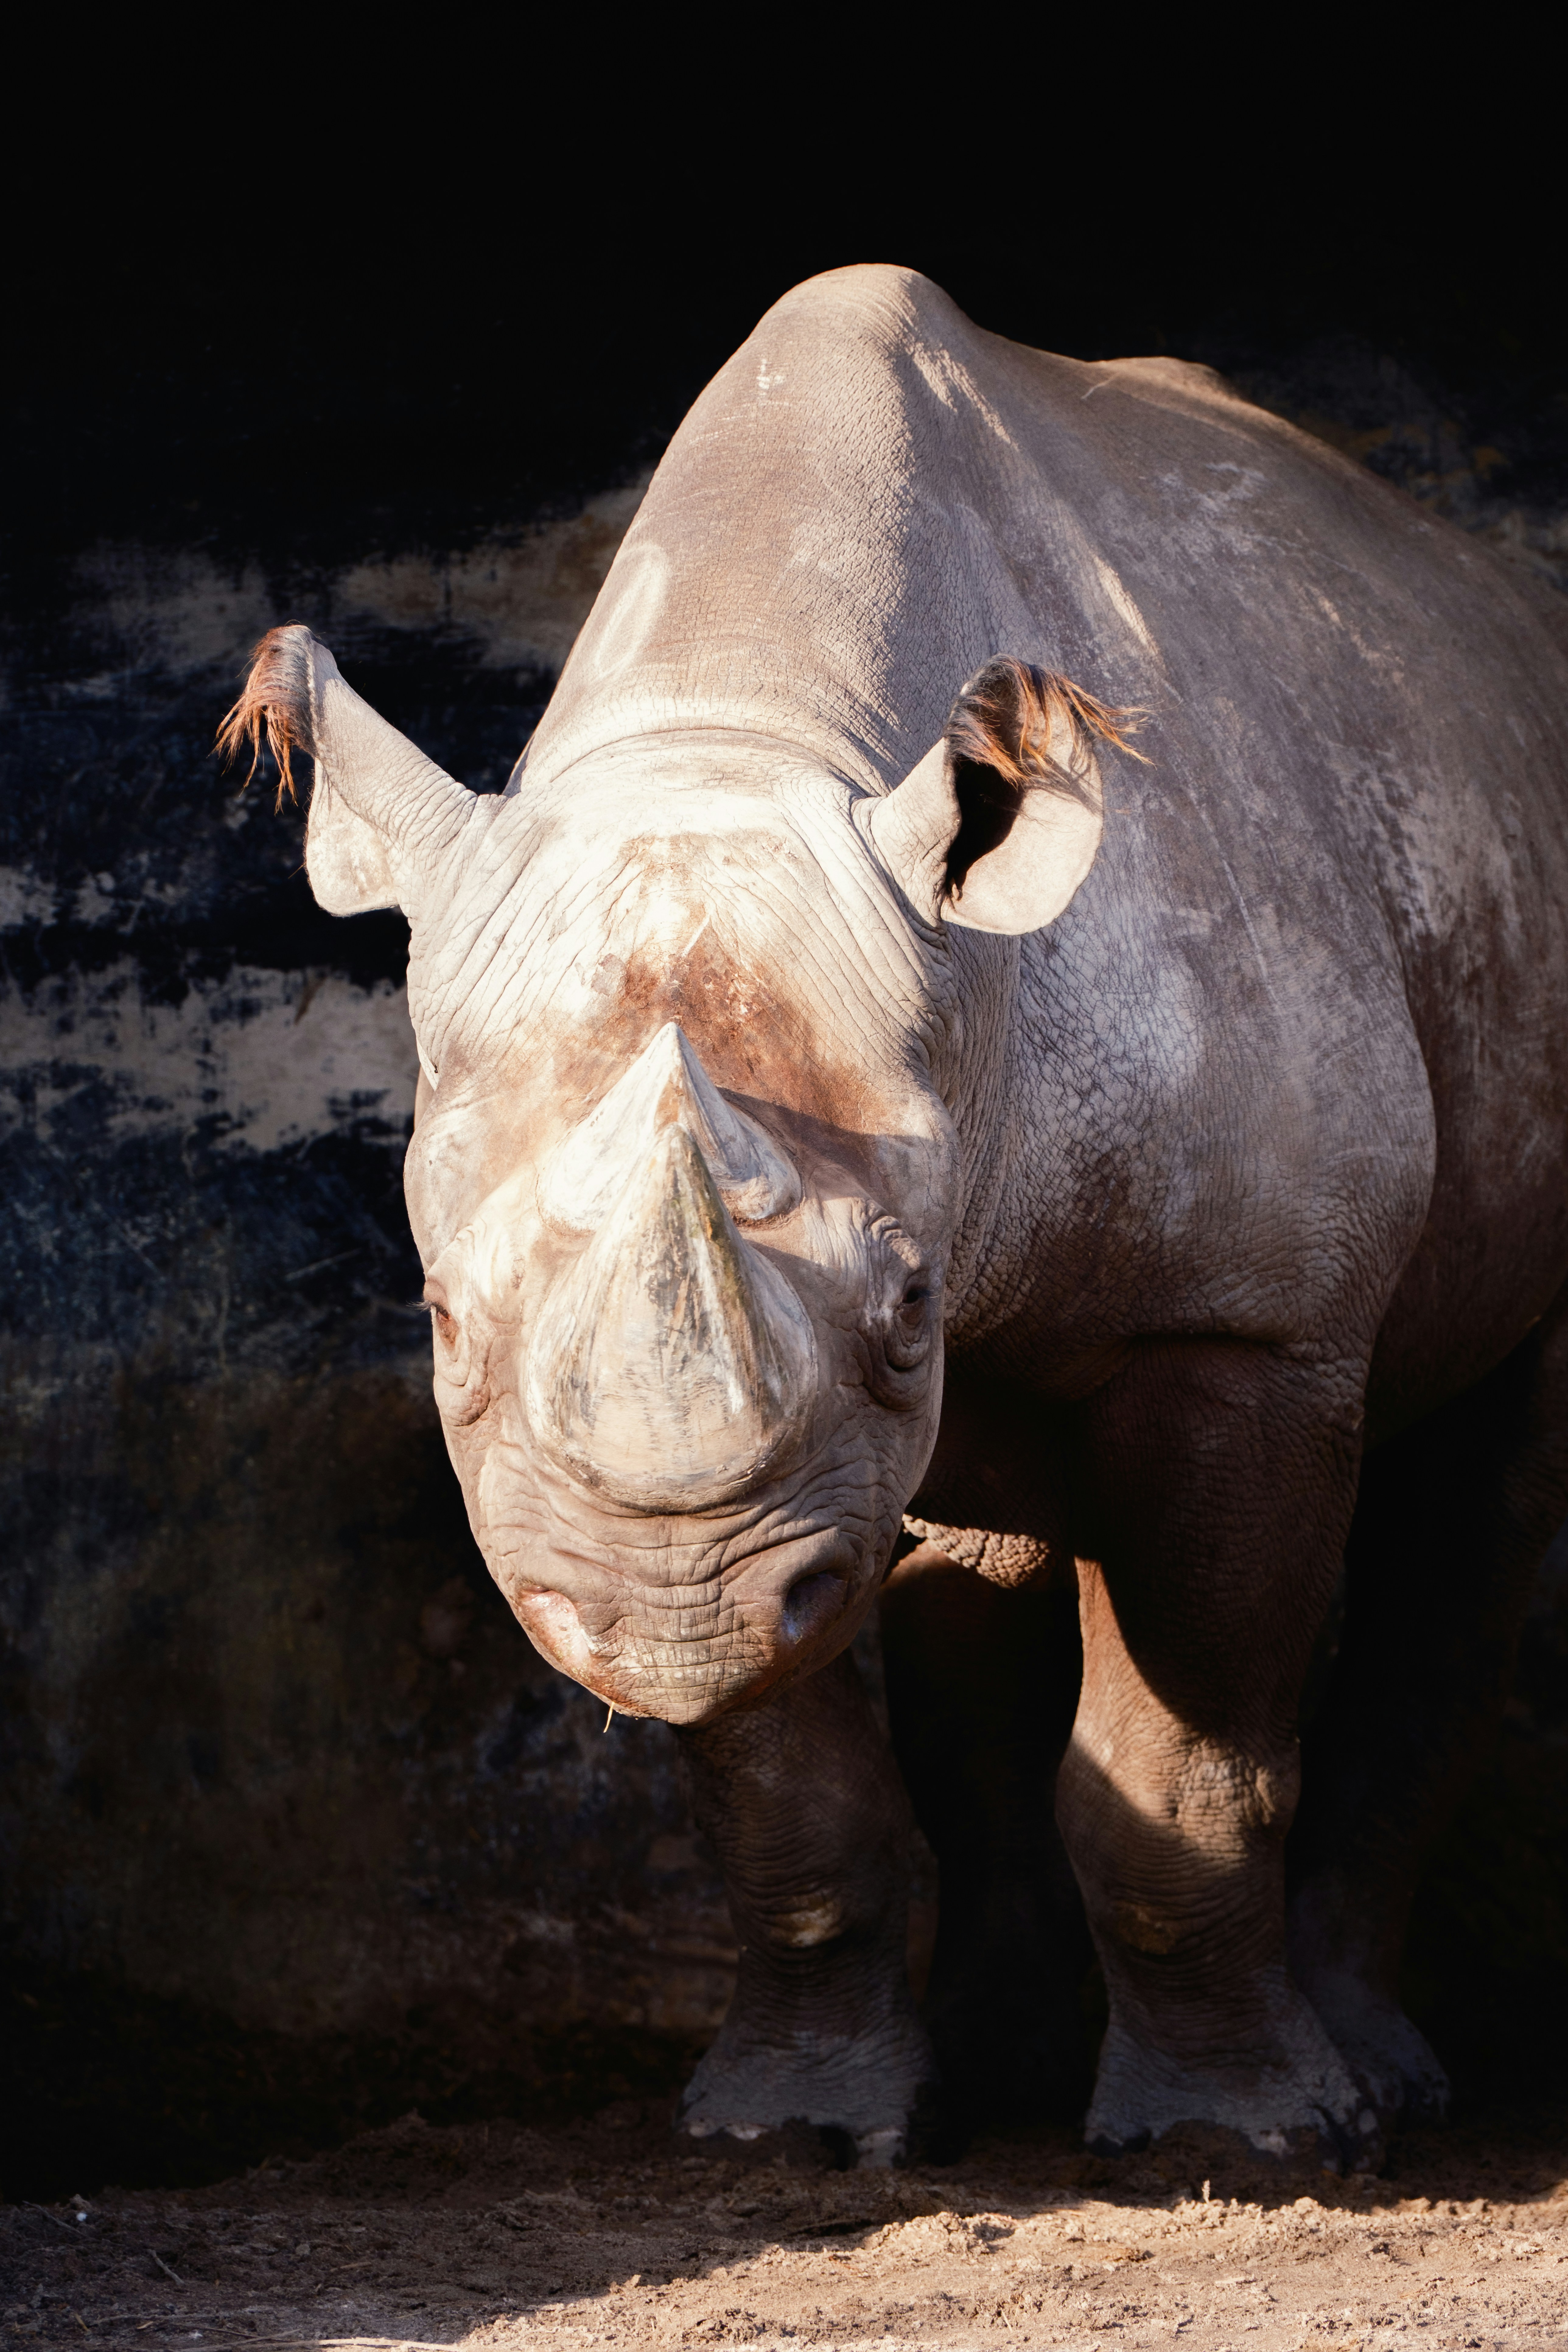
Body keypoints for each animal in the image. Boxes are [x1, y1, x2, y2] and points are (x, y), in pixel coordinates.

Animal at [223, 265, 1568, 2169]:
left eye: (911, 1304)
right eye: (442, 1324)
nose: (658, 1619)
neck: (741, 728)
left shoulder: (1243, 1320)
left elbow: (1193, 1758)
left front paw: (1240, 2141)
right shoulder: (720, 1478)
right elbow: (789, 1784)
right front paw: (785, 2132)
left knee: (1479, 1477)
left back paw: (1370, 2090)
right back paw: (1003, 2072)